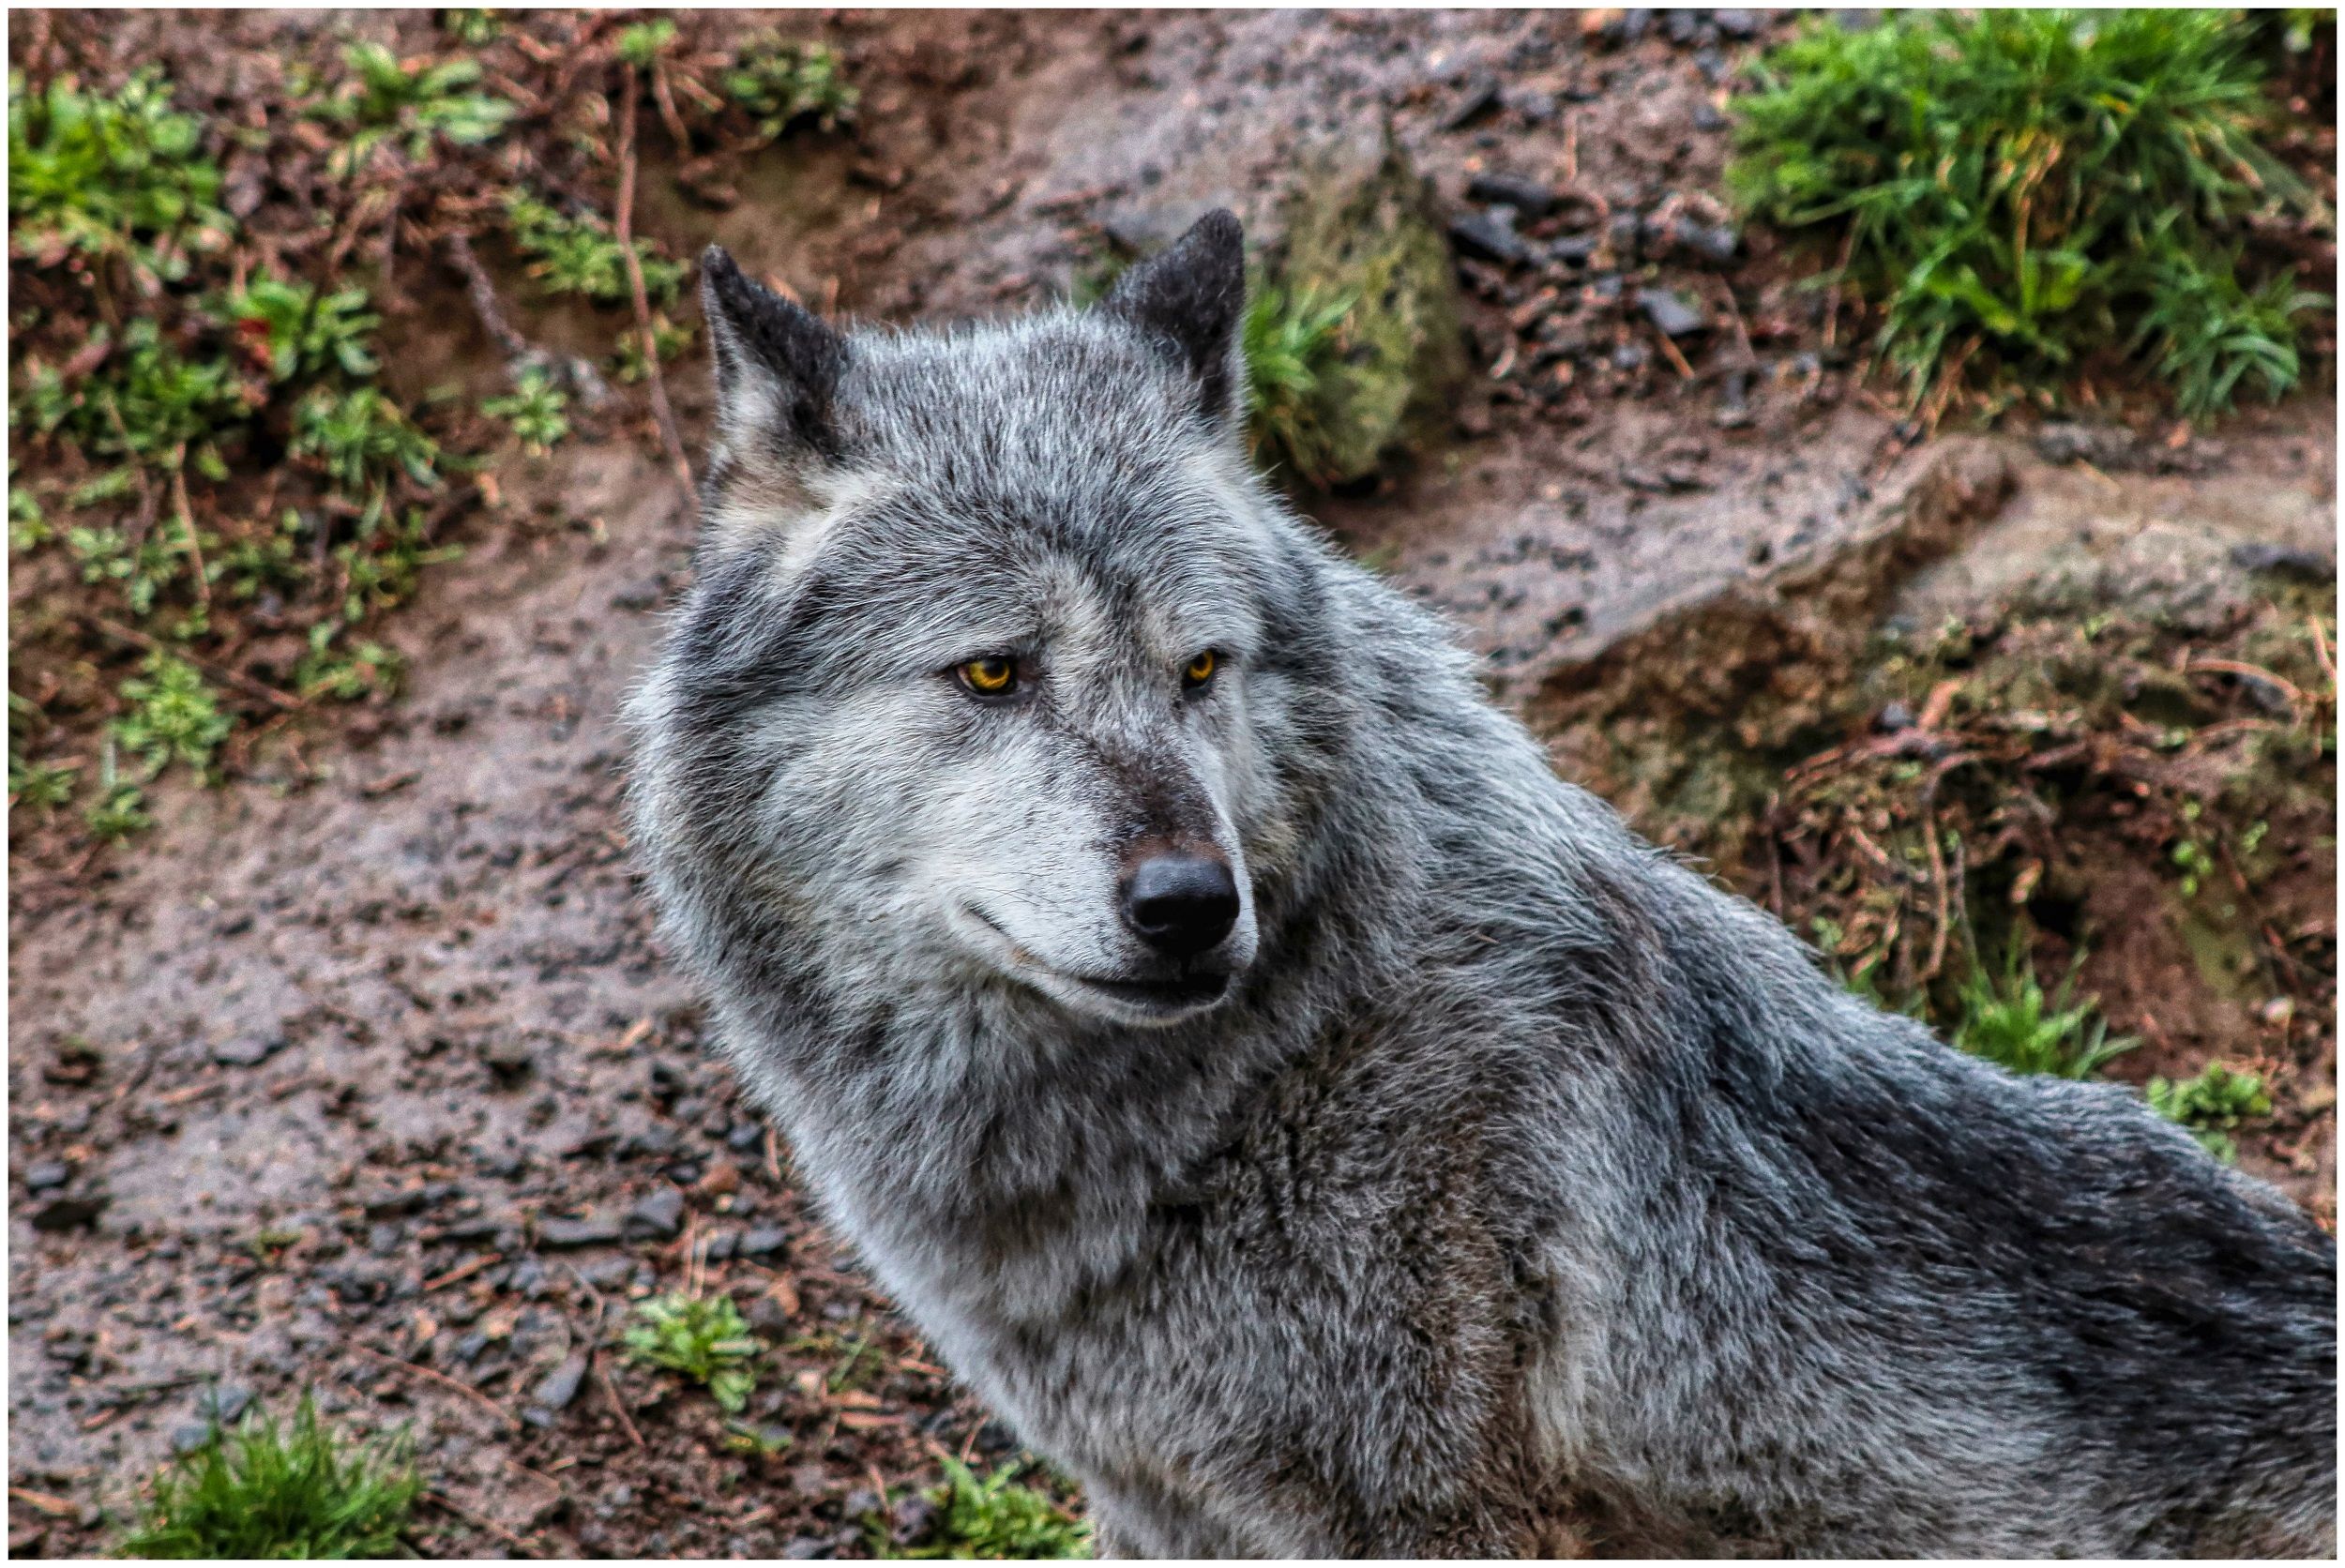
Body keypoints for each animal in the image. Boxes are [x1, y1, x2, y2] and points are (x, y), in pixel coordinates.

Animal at [626, 211, 2336, 1557]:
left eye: (1200, 669)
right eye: (993, 671)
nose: (1193, 905)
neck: (1267, 1075)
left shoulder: (1427, 1510)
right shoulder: (1163, 1504)